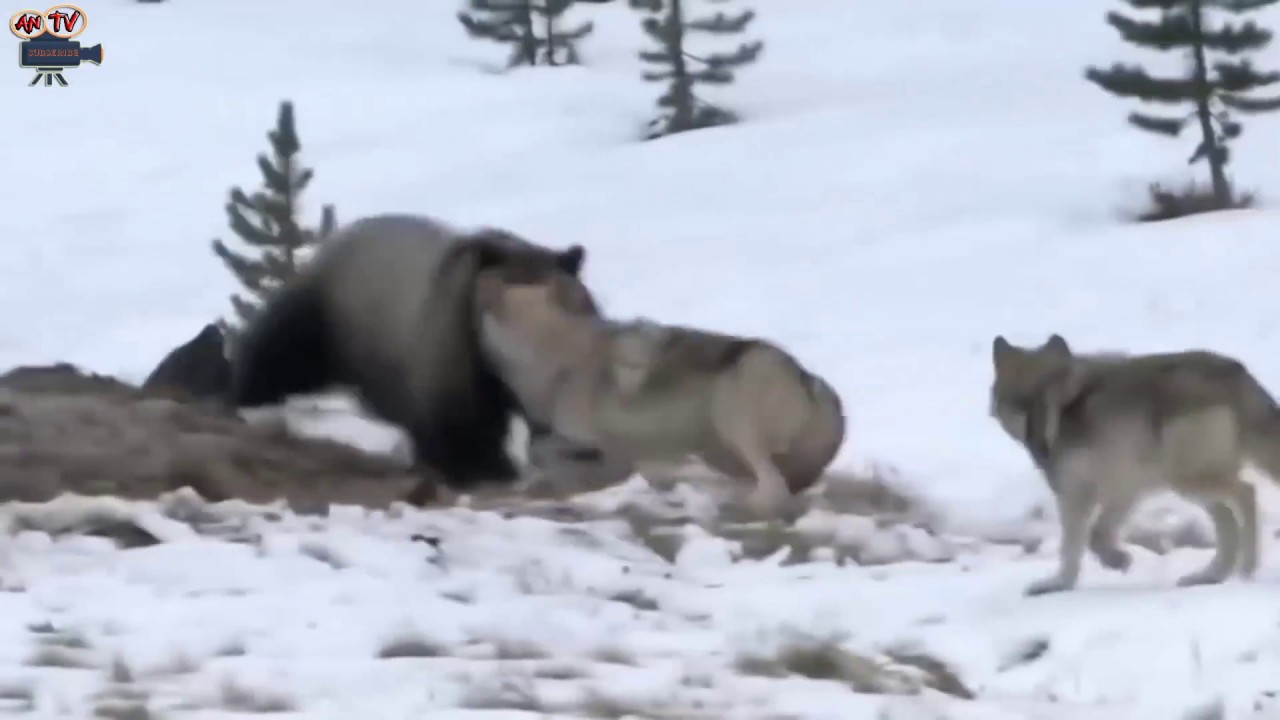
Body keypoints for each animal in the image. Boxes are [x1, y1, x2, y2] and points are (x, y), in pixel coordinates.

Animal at [473, 270, 847, 519]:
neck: (555, 356)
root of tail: (811, 383)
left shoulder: (601, 443)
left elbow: (541, 450)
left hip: (731, 414)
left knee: (773, 489)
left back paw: (733, 505)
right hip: (721, 450)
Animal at [989, 333, 1280, 595]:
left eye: (1045, 401)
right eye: (1022, 406)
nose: (1040, 447)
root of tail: (1236, 371)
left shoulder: (1093, 493)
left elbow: (1080, 544)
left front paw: (1075, 578)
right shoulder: (1112, 493)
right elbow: (1088, 541)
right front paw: (1088, 573)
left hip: (1189, 480)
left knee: (1247, 494)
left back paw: (1246, 571)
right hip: (1193, 488)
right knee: (1229, 520)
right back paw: (1211, 576)